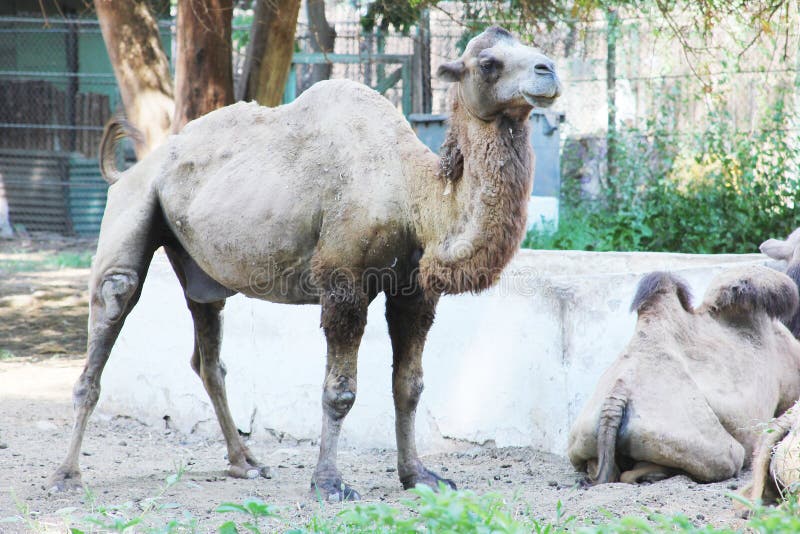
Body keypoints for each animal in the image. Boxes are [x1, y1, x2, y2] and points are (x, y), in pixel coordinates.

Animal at [47, 26, 561, 500]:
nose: (549, 71)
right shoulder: (342, 283)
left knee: (208, 355)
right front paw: (329, 483)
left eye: (533, 47)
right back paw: (66, 475)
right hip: (132, 215)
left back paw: (246, 462)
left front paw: (419, 476)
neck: (413, 194)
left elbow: (409, 387)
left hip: (197, 266)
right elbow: (340, 391)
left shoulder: (414, 293)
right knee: (111, 310)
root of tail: (130, 170)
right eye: (489, 62)